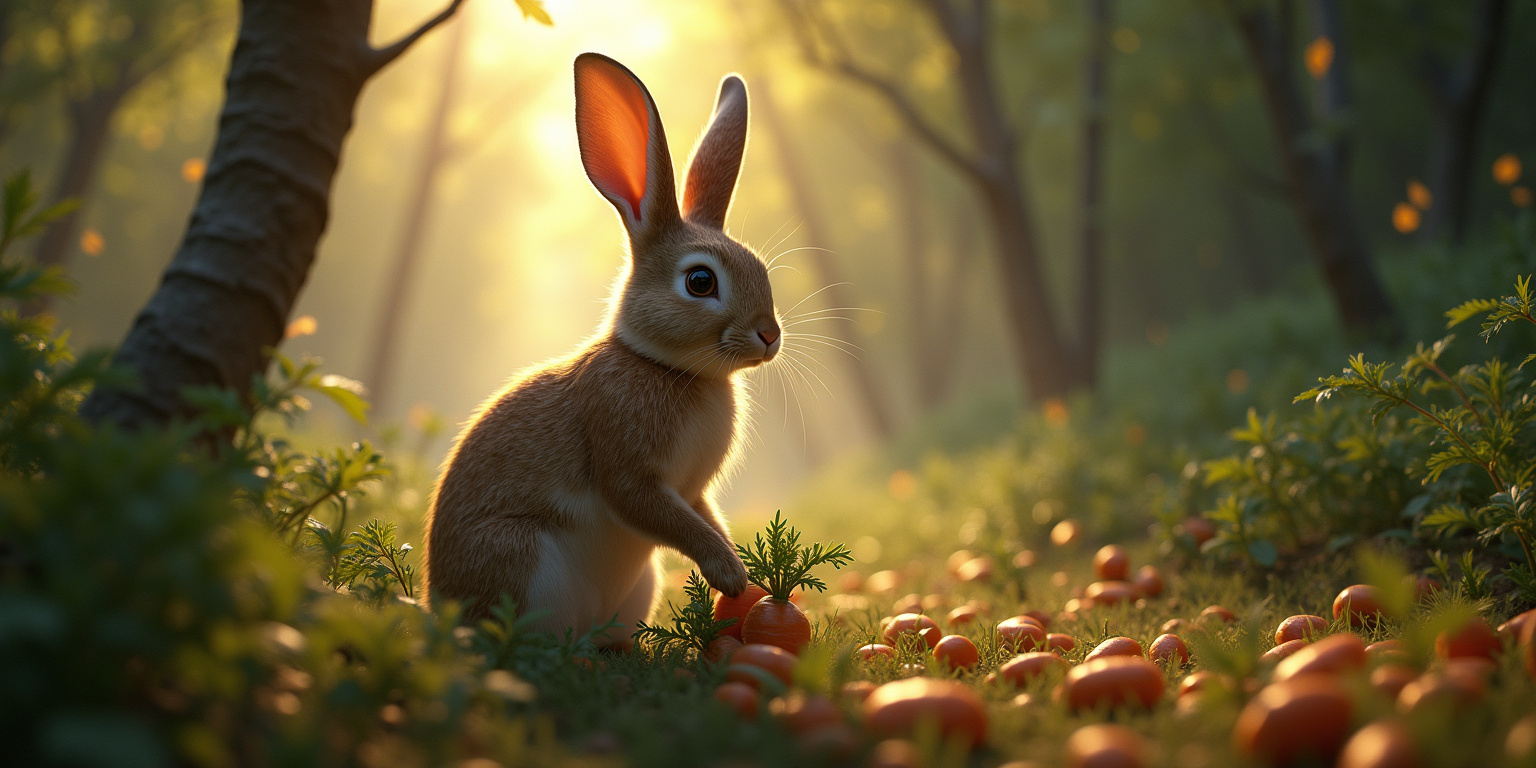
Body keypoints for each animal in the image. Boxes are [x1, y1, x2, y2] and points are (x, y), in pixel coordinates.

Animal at [421, 53, 778, 643]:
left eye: (762, 270)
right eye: (700, 281)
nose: (770, 335)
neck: (666, 367)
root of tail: (440, 609)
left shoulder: (693, 492)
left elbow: (705, 516)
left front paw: (740, 577)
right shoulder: (630, 470)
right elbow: (663, 515)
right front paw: (730, 575)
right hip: (521, 559)